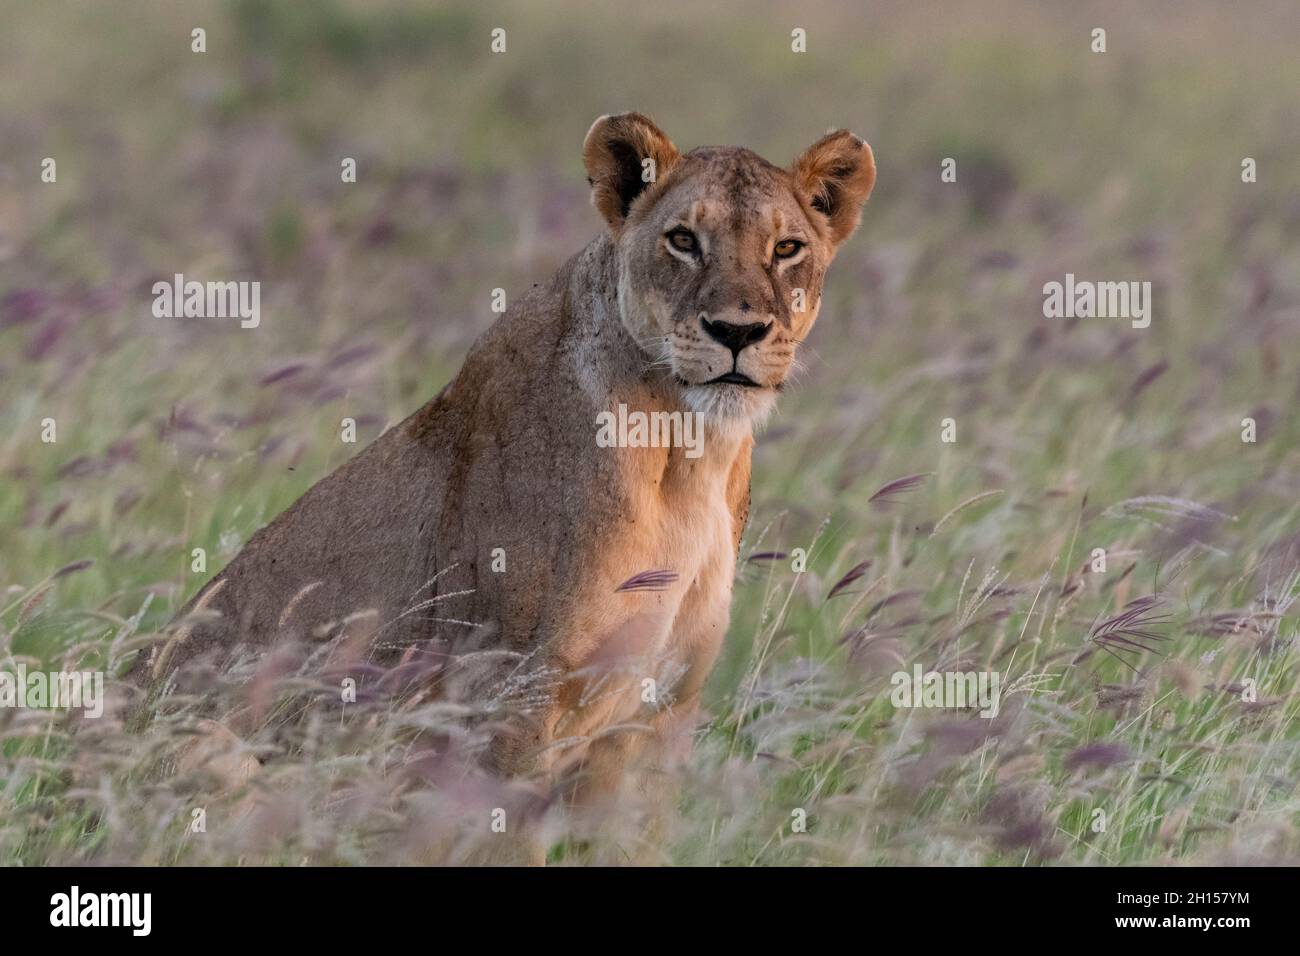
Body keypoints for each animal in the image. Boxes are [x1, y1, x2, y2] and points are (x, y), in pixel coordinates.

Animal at [133, 113, 875, 856]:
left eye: (787, 248)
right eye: (683, 240)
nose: (736, 332)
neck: (690, 455)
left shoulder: (660, 710)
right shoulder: (514, 689)